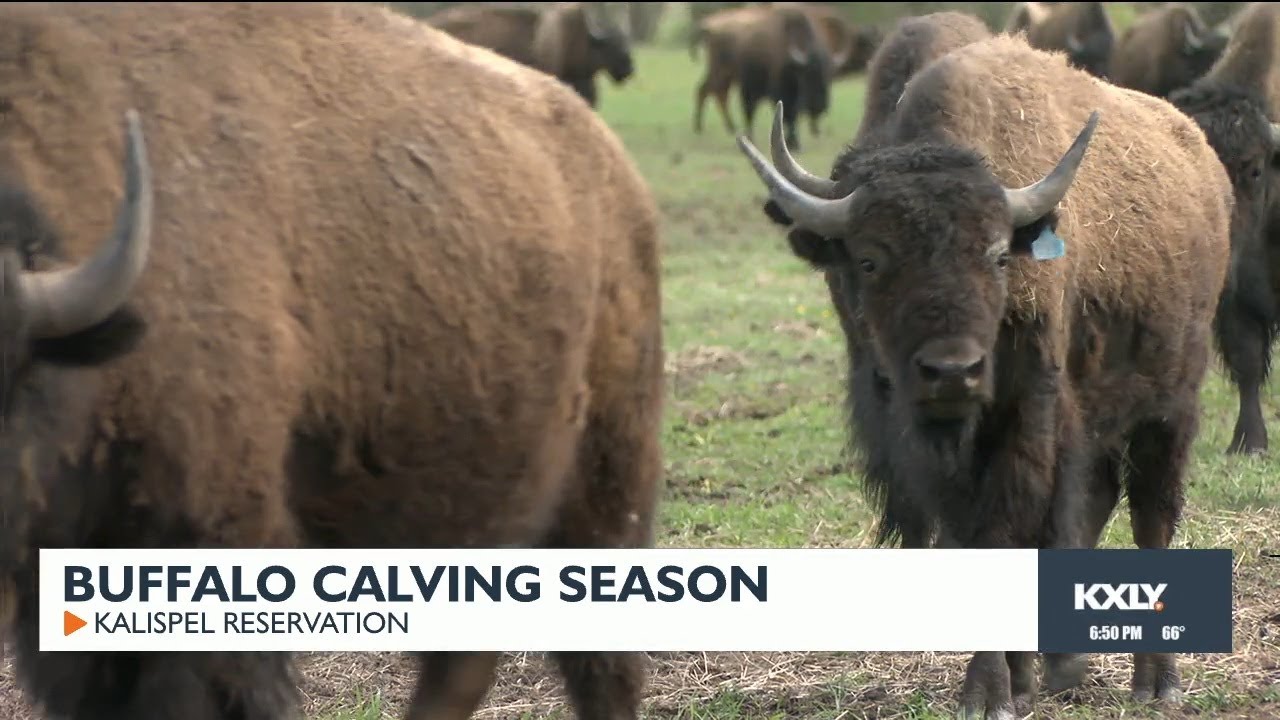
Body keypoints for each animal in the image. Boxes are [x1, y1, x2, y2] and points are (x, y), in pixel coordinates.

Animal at [741, 28, 1232, 719]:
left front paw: (990, 693)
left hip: (1170, 408)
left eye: (999, 255)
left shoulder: (1027, 420)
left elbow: (1006, 532)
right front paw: (1007, 686)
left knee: (1151, 517)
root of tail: (1202, 160)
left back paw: (1156, 683)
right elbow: (975, 539)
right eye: (867, 259)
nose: (952, 372)